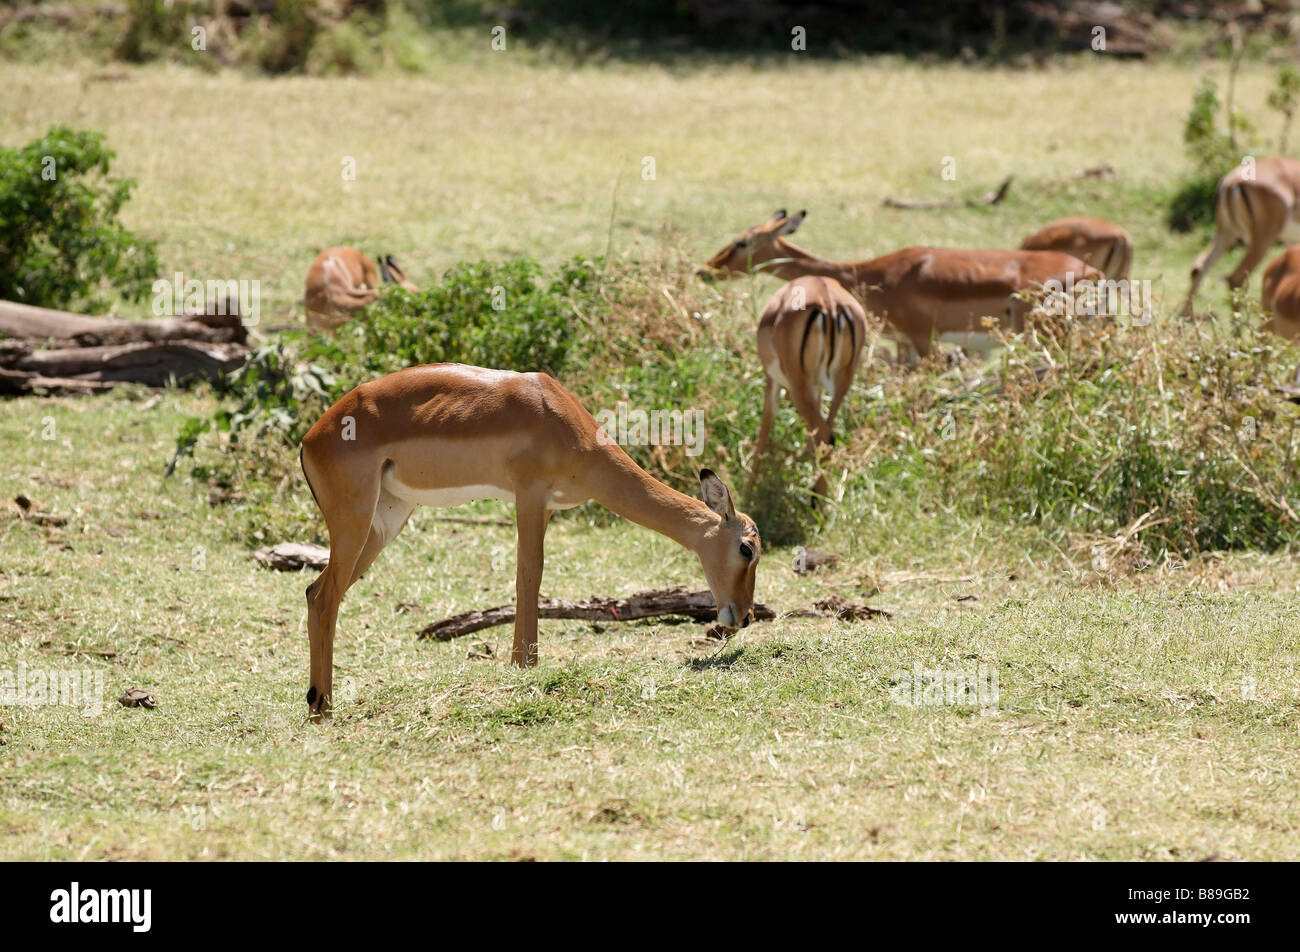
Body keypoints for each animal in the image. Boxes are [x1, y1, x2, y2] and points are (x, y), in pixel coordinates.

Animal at [299, 363, 760, 719]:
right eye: (747, 548)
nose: (745, 617)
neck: (560, 419)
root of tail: (310, 438)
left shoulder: (548, 505)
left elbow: (529, 579)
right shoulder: (530, 494)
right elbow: (530, 573)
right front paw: (526, 666)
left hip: (385, 521)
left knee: (314, 590)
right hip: (355, 521)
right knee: (324, 597)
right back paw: (323, 706)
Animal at [702, 210, 1103, 362]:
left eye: (742, 242)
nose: (707, 270)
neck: (876, 276)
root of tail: (1092, 273)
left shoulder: (923, 340)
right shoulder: (903, 344)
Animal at [751, 276, 867, 498]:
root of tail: (828, 303)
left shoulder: (773, 381)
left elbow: (764, 431)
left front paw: (747, 492)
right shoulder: (818, 389)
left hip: (799, 386)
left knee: (823, 437)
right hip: (843, 383)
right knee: (827, 436)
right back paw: (820, 501)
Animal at [1186, 156, 1300, 313]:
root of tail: (1231, 182)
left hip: (1227, 232)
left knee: (1199, 266)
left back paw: (1186, 316)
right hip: (1263, 239)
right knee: (1236, 278)